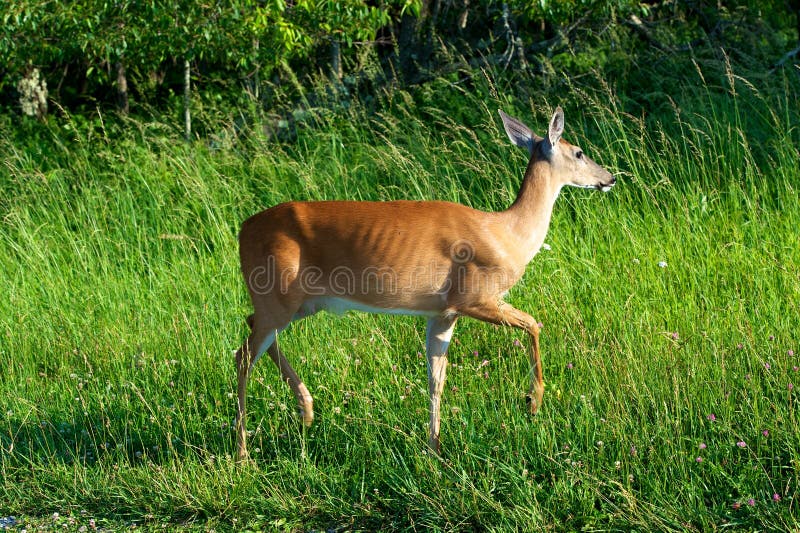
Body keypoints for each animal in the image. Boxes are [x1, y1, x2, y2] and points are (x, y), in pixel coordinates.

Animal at [234, 107, 615, 461]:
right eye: (579, 152)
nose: (610, 177)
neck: (508, 234)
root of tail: (242, 230)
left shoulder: (442, 313)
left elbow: (436, 379)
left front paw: (435, 449)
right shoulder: (474, 297)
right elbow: (534, 324)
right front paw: (533, 401)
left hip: (300, 302)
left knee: (253, 331)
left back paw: (306, 411)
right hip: (276, 295)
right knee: (243, 354)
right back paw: (242, 452)